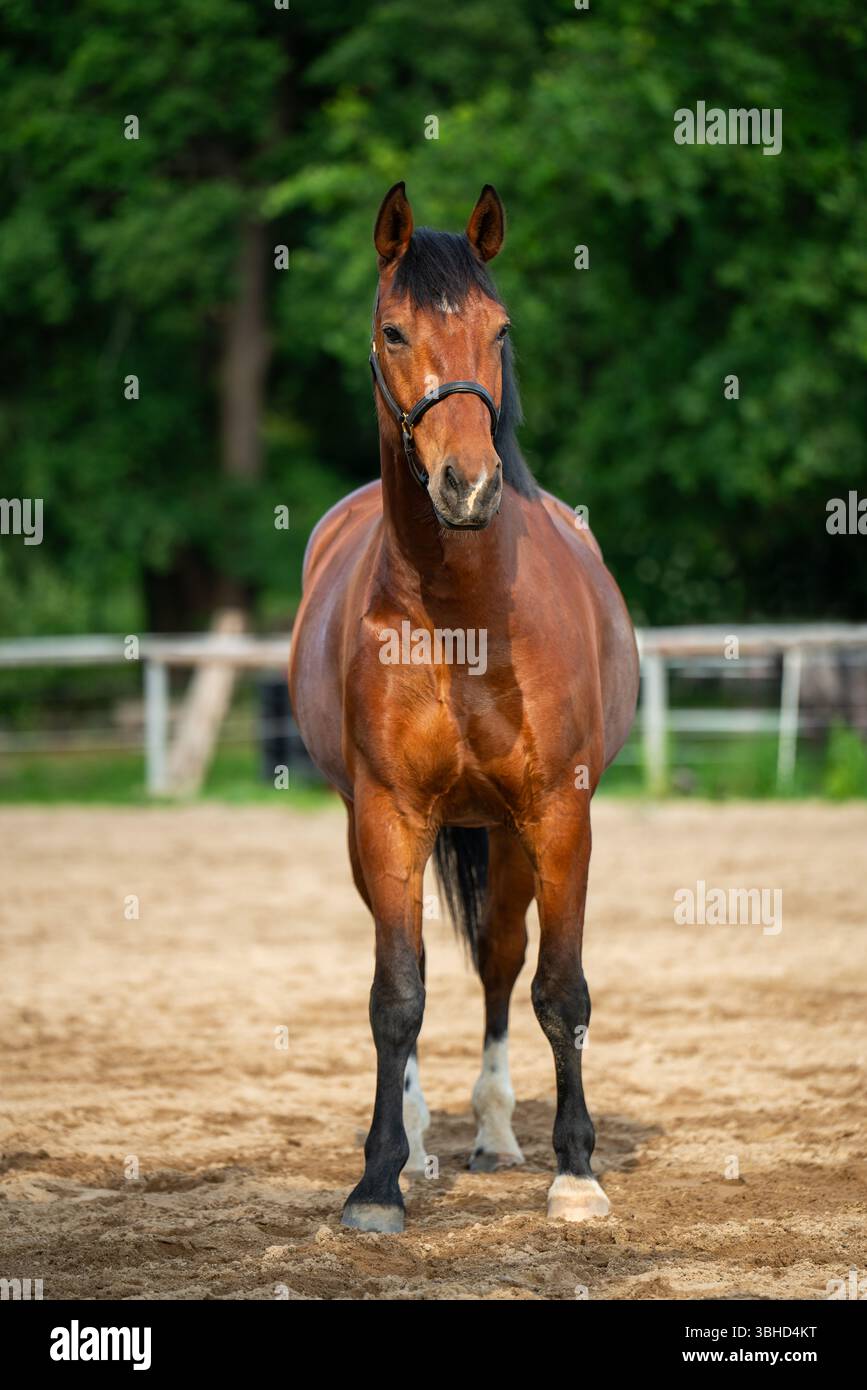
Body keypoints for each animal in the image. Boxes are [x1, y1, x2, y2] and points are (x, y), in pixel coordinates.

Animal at [288, 183, 639, 1233]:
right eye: (394, 331)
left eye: (500, 329)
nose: (469, 483)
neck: (461, 618)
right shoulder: (388, 818)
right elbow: (394, 997)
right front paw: (376, 1182)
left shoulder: (559, 815)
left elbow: (559, 990)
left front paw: (576, 1171)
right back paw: (415, 1142)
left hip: (511, 835)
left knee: (498, 962)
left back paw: (494, 1133)